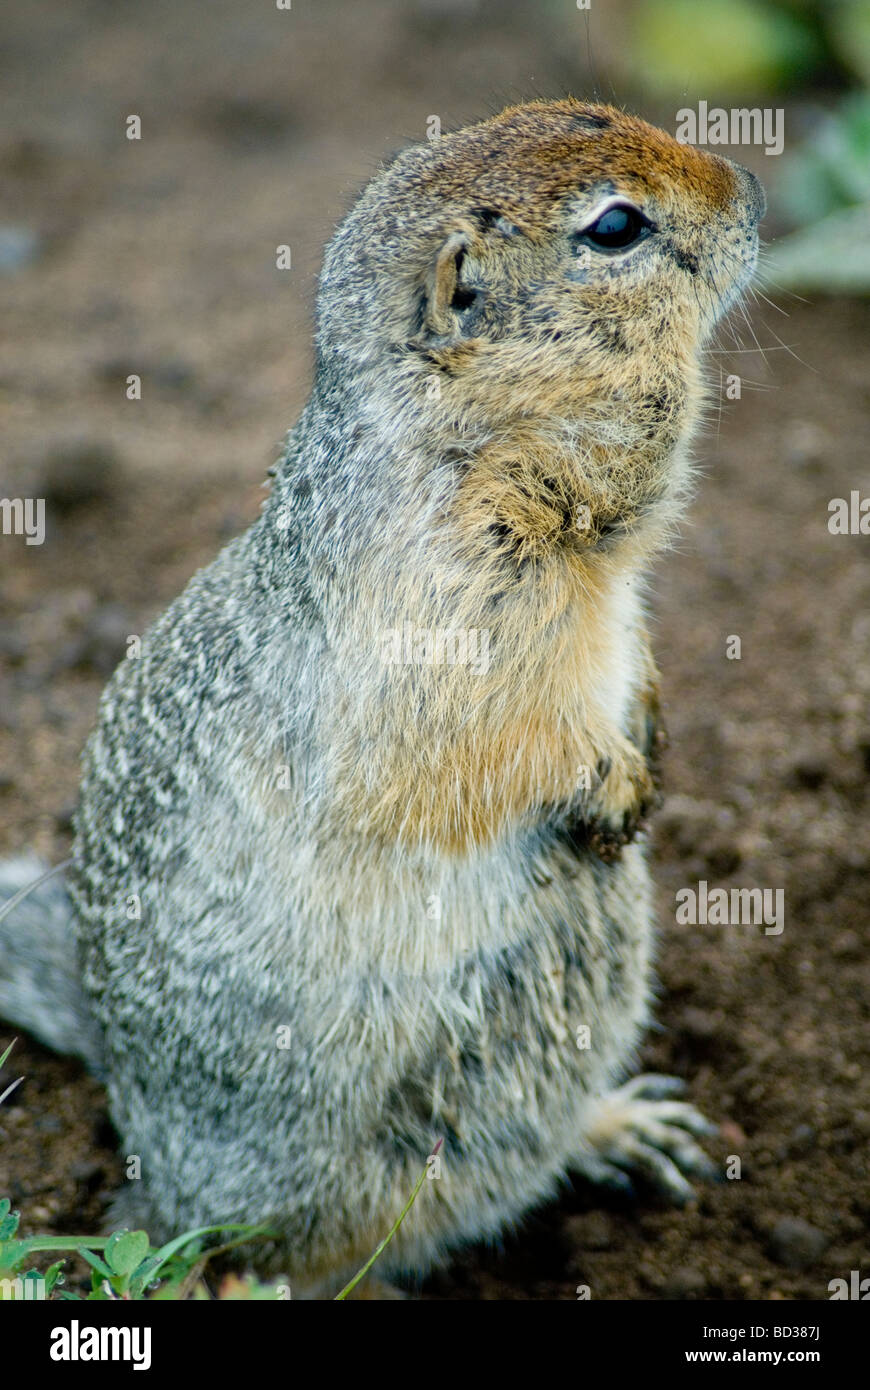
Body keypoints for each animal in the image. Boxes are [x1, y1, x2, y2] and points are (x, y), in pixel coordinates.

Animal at [0, 99, 764, 1295]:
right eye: (616, 226)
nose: (754, 192)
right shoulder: (441, 610)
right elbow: (482, 745)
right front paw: (612, 779)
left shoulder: (611, 605)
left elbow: (630, 662)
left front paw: (651, 734)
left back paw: (619, 1129)